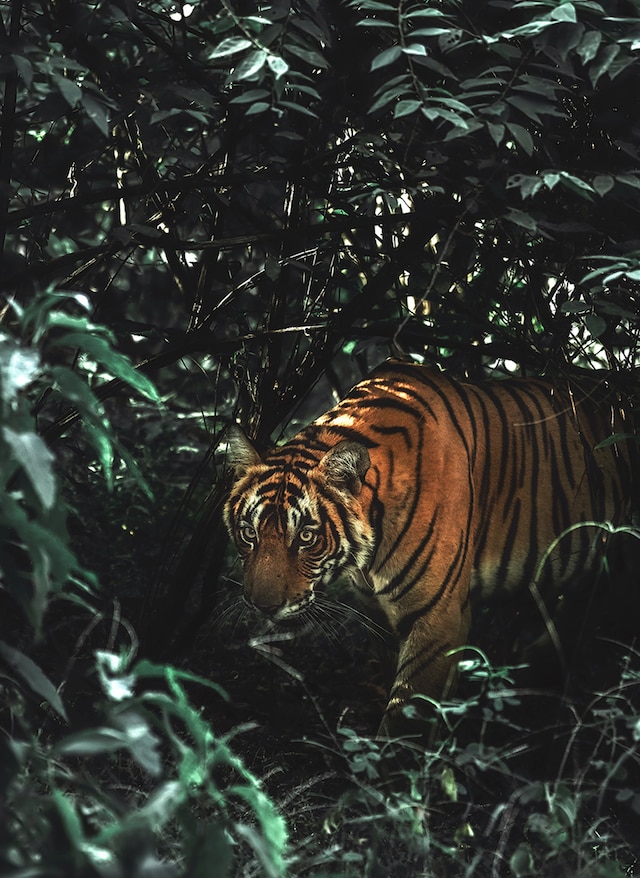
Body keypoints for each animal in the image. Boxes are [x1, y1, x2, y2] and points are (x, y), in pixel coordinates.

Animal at [223, 360, 639, 737]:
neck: (367, 557)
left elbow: (408, 718)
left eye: (306, 537)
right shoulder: (379, 613)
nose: (262, 606)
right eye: (248, 532)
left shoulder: (437, 618)